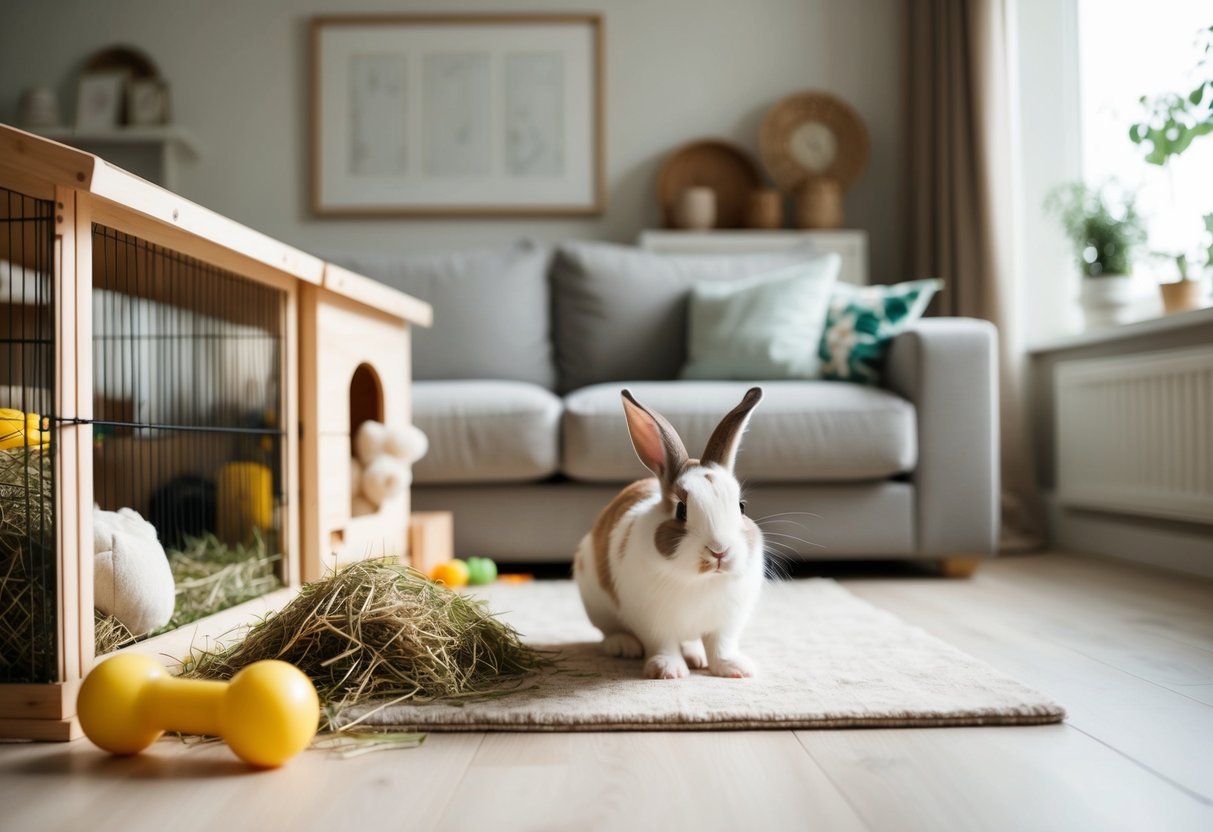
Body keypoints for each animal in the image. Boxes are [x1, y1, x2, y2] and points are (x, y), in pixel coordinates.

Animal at [573, 387, 765, 680]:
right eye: (681, 510)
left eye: (741, 506)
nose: (719, 551)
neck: (700, 581)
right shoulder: (653, 622)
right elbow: (663, 644)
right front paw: (668, 671)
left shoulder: (726, 623)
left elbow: (721, 645)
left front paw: (735, 669)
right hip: (597, 603)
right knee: (608, 632)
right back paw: (624, 646)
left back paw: (696, 656)